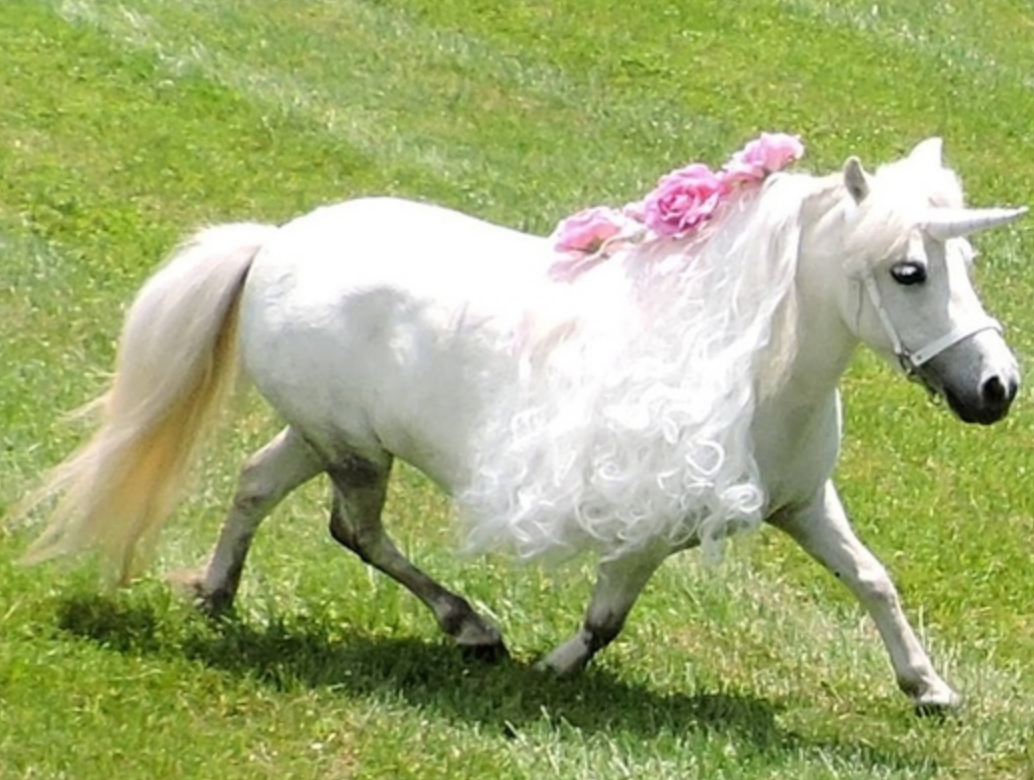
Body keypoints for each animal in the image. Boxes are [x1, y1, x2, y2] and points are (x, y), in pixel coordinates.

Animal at [19, 136, 1026, 712]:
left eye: (966, 261)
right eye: (906, 271)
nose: (997, 387)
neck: (755, 366)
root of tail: (273, 245)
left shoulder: (803, 503)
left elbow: (874, 581)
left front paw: (929, 689)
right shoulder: (645, 531)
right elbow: (609, 617)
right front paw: (553, 669)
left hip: (324, 437)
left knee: (257, 488)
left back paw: (219, 593)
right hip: (352, 452)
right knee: (355, 529)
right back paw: (471, 626)